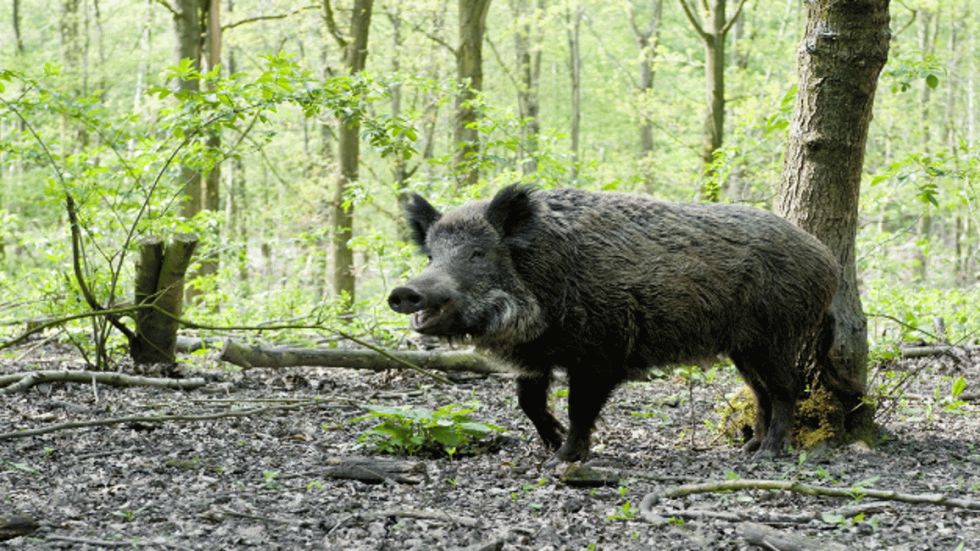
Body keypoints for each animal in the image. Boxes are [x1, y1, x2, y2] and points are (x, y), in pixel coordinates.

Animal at [388, 185, 839, 461]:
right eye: (431, 255)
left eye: (477, 254)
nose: (404, 292)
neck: (542, 274)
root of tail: (829, 264)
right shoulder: (538, 355)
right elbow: (528, 401)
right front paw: (552, 444)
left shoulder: (601, 354)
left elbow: (579, 406)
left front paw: (566, 457)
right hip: (744, 347)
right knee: (760, 393)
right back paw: (750, 447)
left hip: (776, 335)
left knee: (785, 388)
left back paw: (769, 452)